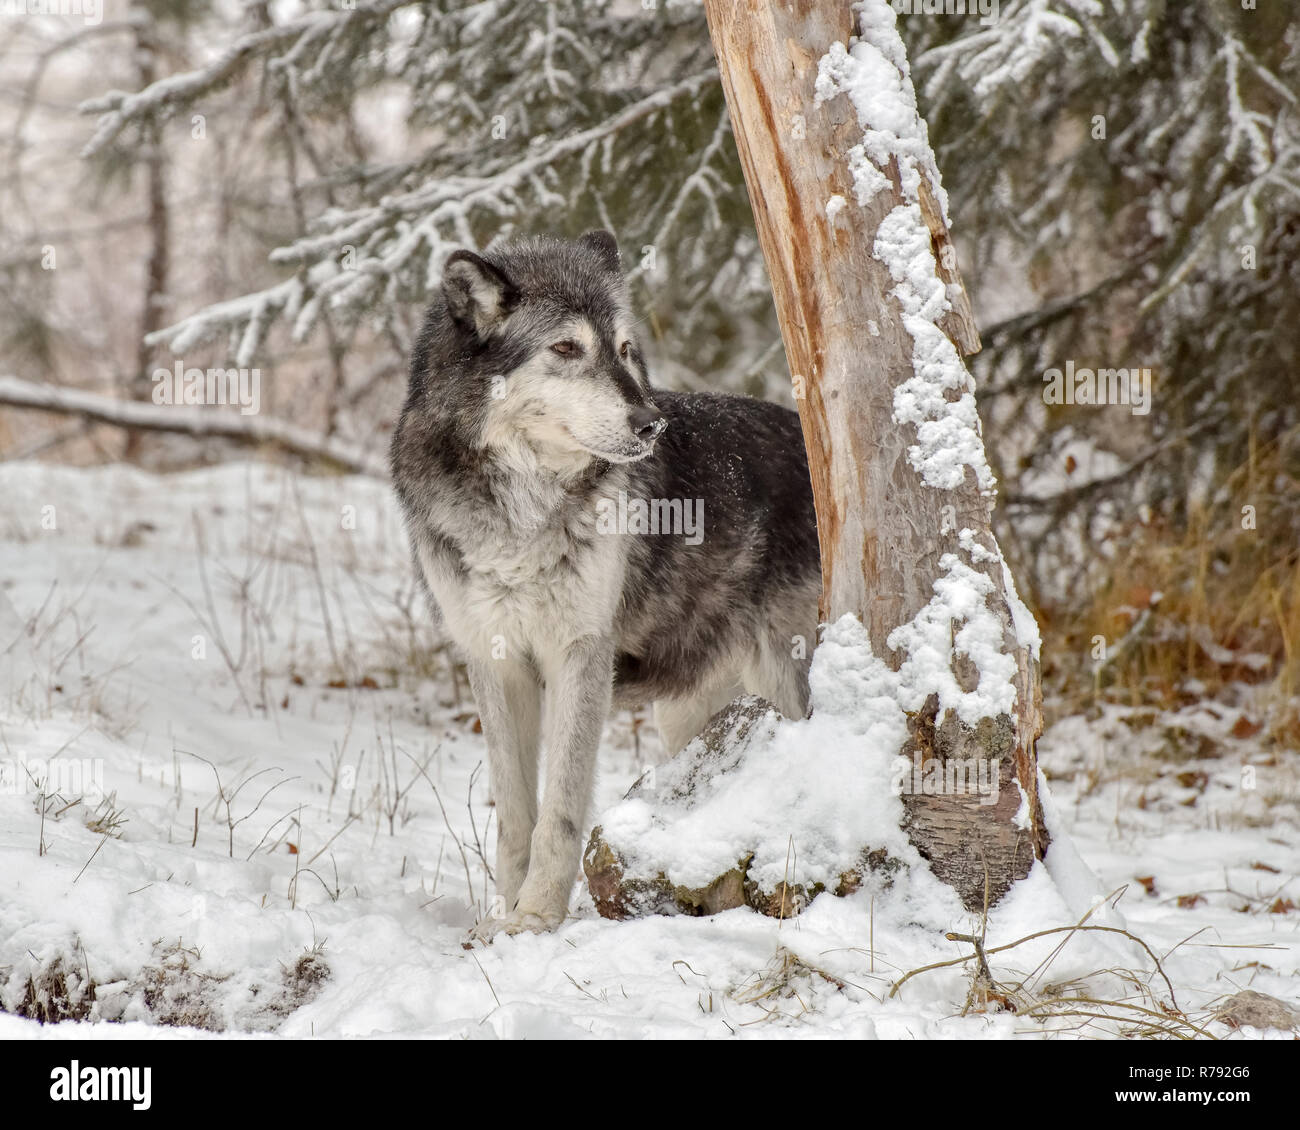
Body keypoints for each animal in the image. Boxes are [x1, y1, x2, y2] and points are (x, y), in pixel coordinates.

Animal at [390, 231, 820, 939]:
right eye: (566, 349)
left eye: (622, 349)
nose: (650, 424)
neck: (524, 510)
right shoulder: (495, 659)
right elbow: (515, 814)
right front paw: (502, 918)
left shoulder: (579, 655)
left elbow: (561, 810)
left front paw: (537, 917)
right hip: (690, 714)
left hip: (785, 683)